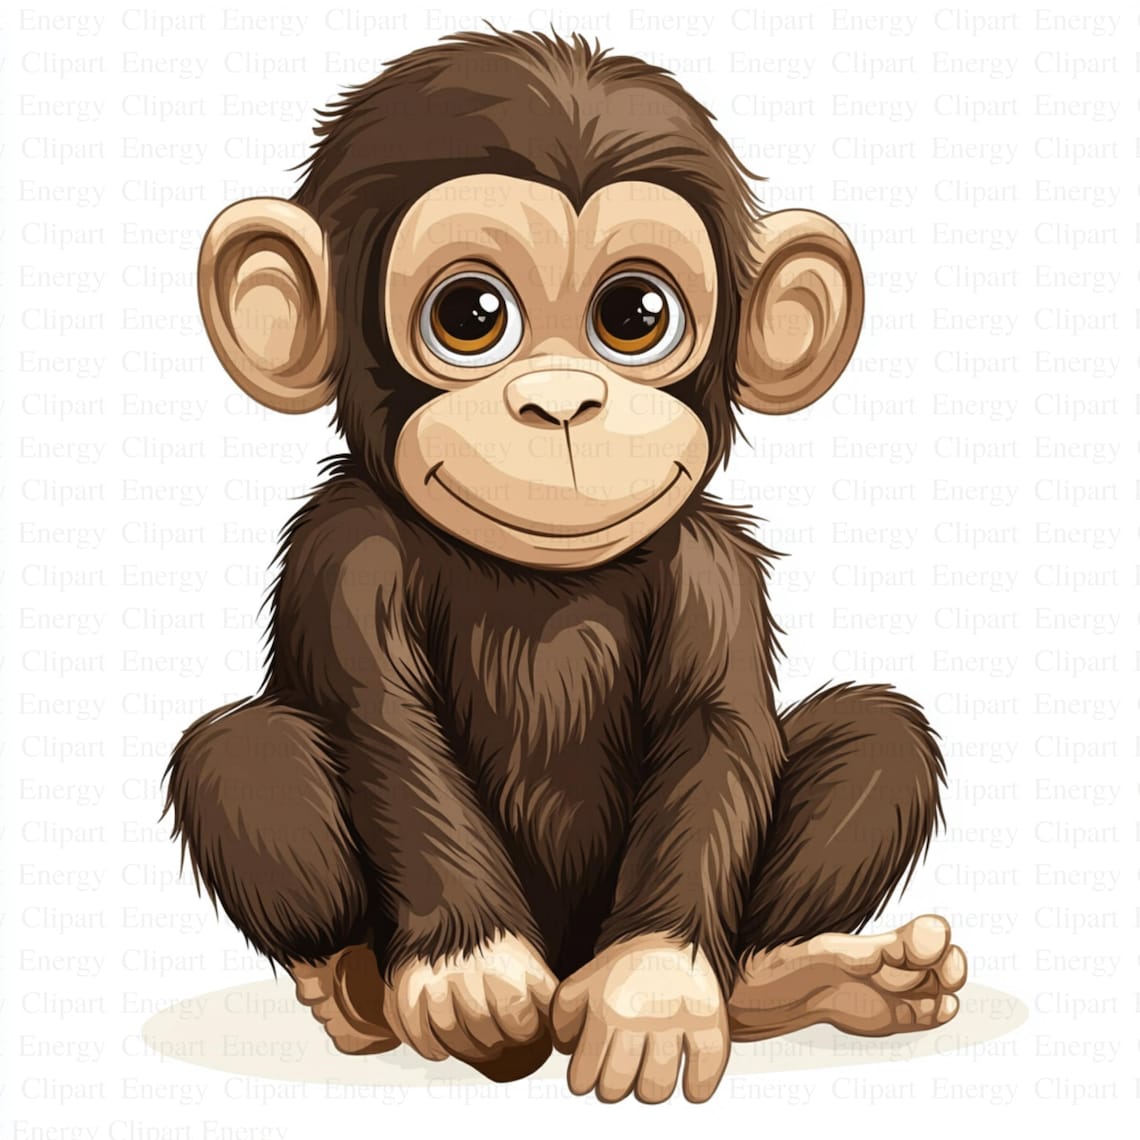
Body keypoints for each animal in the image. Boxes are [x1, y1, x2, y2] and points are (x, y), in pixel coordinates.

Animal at [165, 30, 967, 1105]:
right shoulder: (341, 550)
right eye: (471, 314)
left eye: (634, 314)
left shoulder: (712, 564)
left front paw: (654, 989)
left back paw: (795, 981)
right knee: (240, 753)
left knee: (881, 736)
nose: (560, 403)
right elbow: (385, 723)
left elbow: (715, 729)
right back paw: (355, 988)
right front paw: (469, 972)